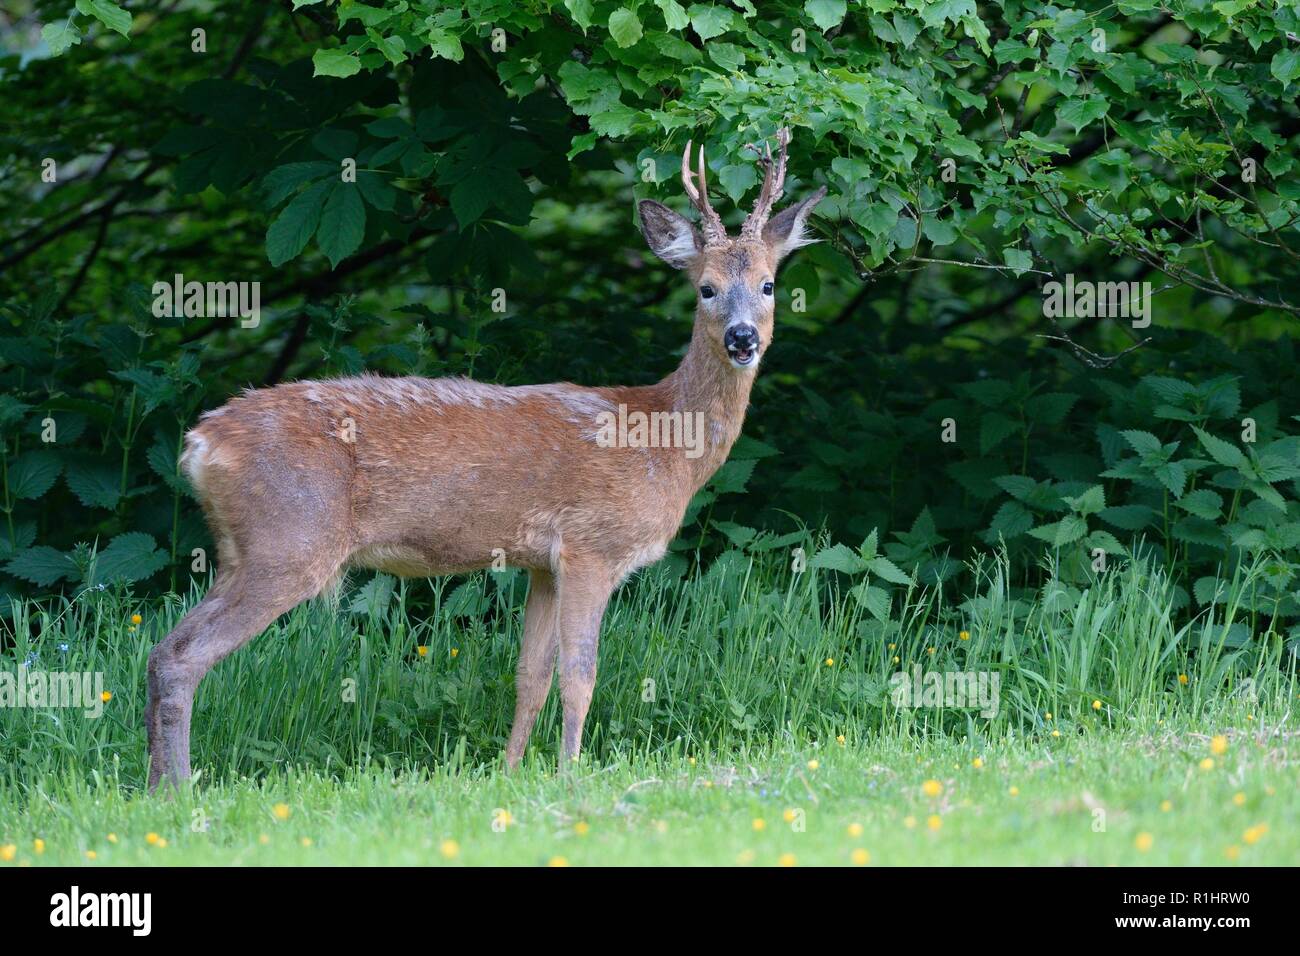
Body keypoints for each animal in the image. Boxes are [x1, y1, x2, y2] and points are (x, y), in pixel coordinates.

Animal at [146, 127, 827, 791]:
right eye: (706, 288)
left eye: (768, 284)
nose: (743, 338)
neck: (661, 439)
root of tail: (201, 443)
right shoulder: (592, 546)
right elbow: (581, 674)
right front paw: (571, 776)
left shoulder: (543, 565)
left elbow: (531, 676)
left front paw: (511, 774)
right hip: (288, 541)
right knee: (183, 655)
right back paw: (177, 790)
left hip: (240, 552)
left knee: (162, 648)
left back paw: (155, 788)